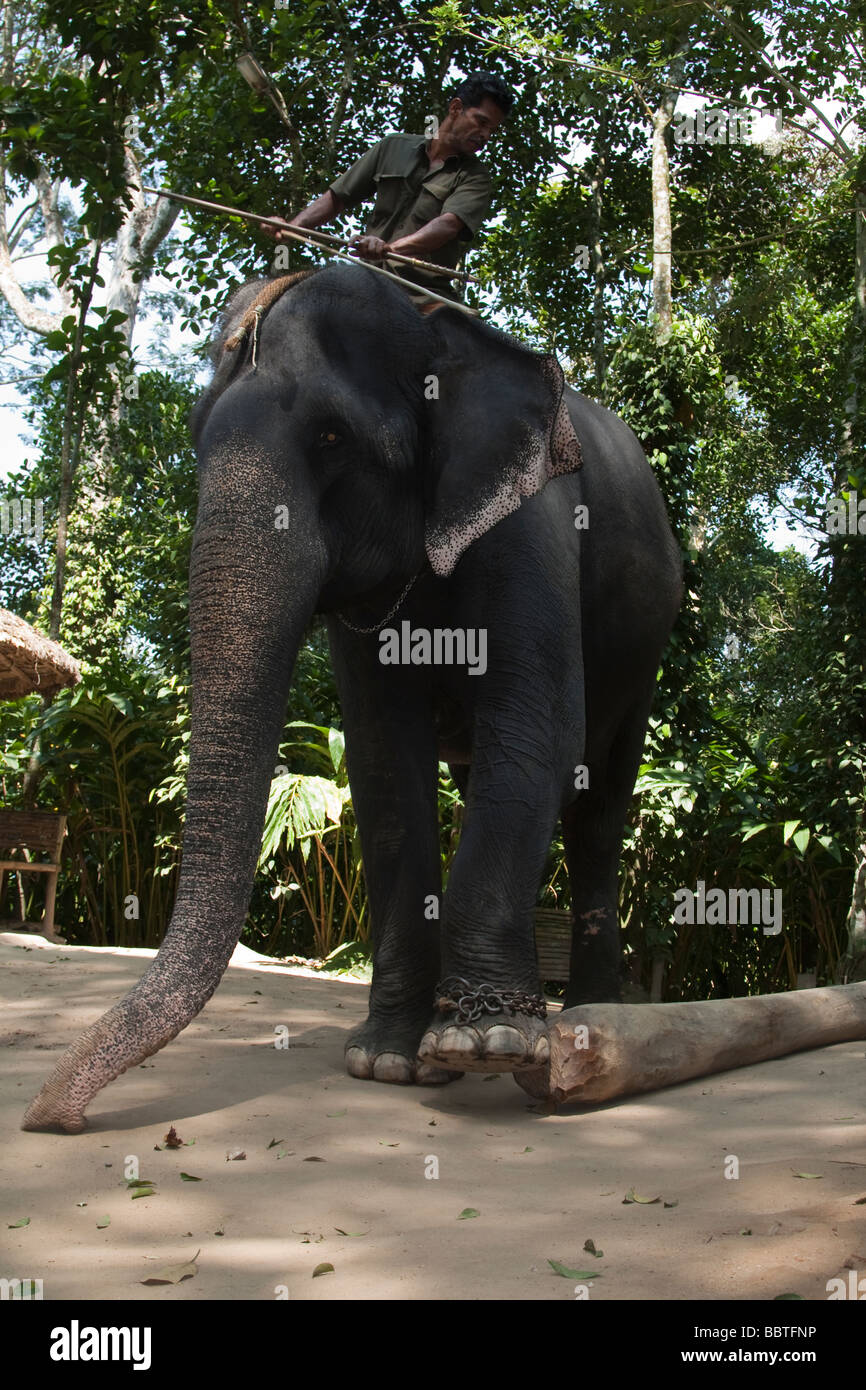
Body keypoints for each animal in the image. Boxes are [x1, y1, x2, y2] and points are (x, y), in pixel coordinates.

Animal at [22, 262, 681, 1132]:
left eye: (333, 438)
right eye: (197, 438)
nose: (50, 1115)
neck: (435, 329)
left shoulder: (531, 521)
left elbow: (539, 724)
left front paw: (489, 1044)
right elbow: (381, 756)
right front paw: (392, 1059)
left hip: (648, 642)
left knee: (600, 800)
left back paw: (590, 1020)